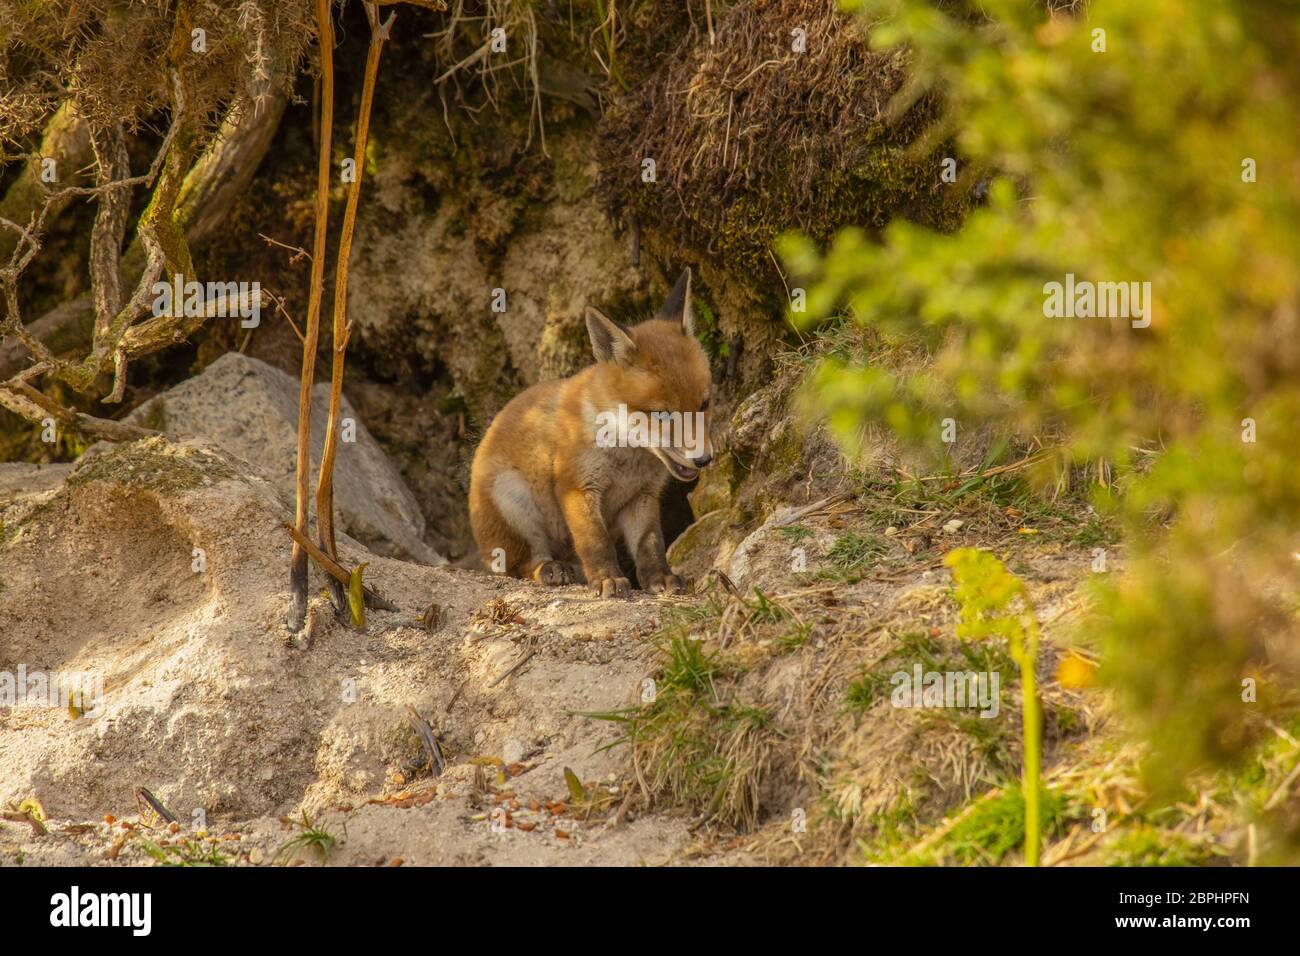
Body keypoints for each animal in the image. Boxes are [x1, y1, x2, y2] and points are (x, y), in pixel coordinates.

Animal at [469, 269, 713, 598]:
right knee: (521, 565)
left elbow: (650, 543)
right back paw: (549, 568)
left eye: (704, 404)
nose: (704, 459)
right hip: (513, 500)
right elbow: (596, 542)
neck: (626, 461)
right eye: (662, 414)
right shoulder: (577, 487)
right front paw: (607, 578)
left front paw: (659, 577)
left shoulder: (641, 496)